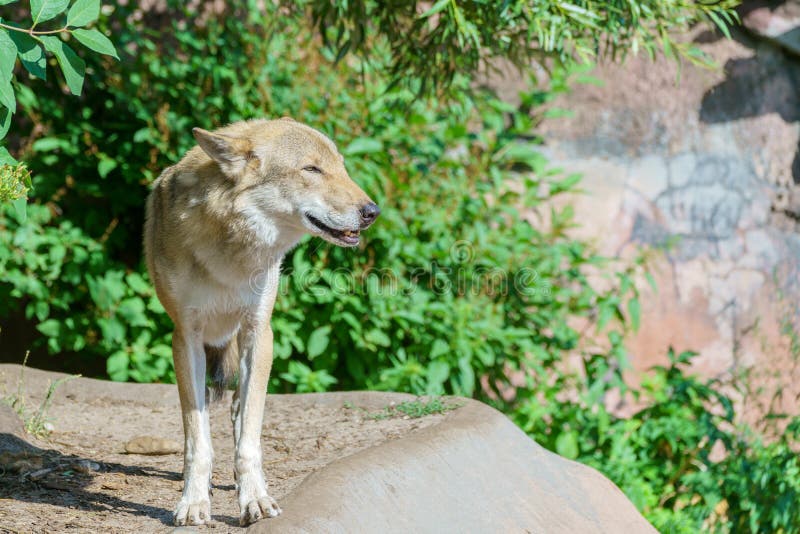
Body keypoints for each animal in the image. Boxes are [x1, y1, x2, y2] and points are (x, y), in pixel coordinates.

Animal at [143, 118, 380, 526]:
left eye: (341, 167)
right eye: (311, 169)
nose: (372, 211)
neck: (231, 252)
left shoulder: (258, 331)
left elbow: (249, 438)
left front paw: (254, 499)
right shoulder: (185, 336)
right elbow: (197, 438)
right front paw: (193, 501)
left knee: (240, 410)